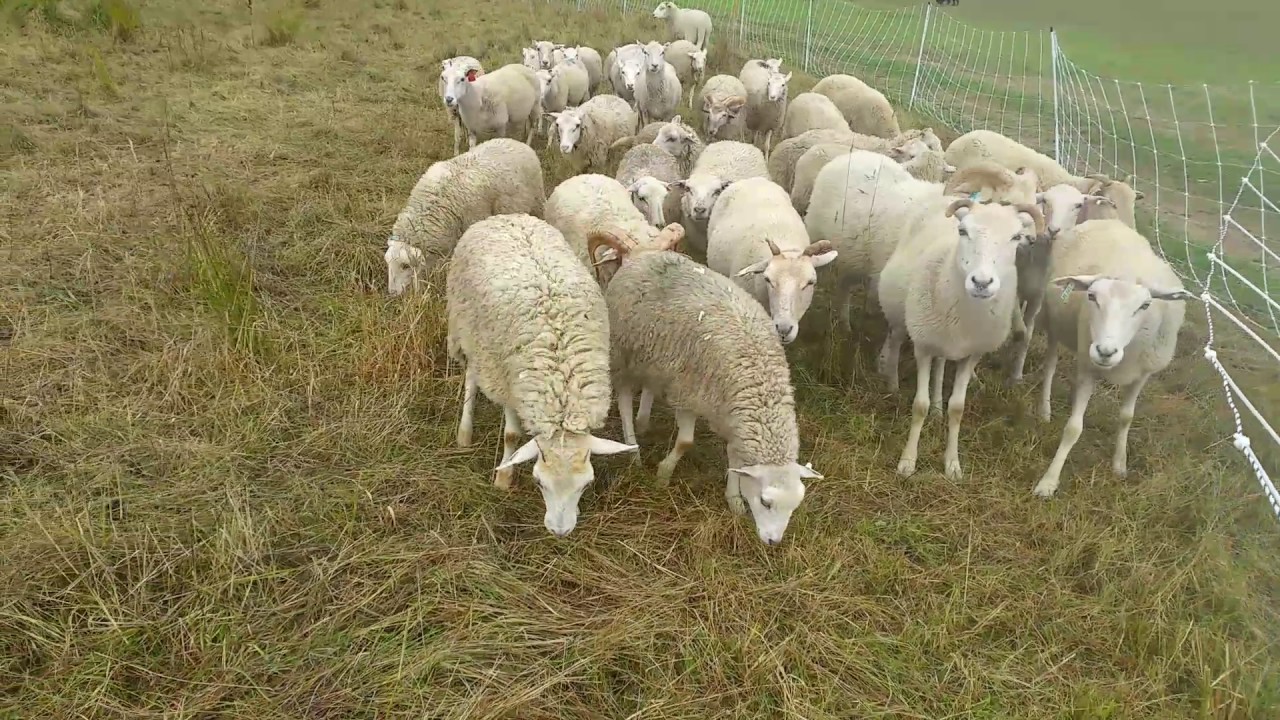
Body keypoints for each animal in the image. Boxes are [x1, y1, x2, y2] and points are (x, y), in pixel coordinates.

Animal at [446, 214, 637, 537]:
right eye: (538, 482)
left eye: (586, 484)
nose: (560, 532)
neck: (562, 390)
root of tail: (504, 217)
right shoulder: (509, 383)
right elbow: (511, 435)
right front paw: (504, 477)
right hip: (466, 330)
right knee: (471, 376)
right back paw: (465, 432)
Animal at [591, 229, 823, 545]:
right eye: (765, 502)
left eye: (795, 505)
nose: (774, 542)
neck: (758, 382)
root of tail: (643, 256)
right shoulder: (688, 394)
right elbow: (685, 442)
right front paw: (663, 475)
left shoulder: (730, 415)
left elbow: (735, 456)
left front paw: (734, 498)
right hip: (624, 353)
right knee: (625, 400)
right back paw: (633, 450)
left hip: (652, 357)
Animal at [878, 198, 1045, 480]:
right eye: (963, 231)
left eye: (1016, 237)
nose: (982, 282)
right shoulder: (923, 345)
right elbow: (919, 406)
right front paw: (908, 461)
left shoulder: (971, 355)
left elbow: (957, 408)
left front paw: (952, 464)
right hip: (901, 316)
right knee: (896, 339)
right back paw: (891, 384)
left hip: (943, 340)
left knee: (940, 366)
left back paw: (937, 407)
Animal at [1032, 219, 1193, 498]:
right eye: (1092, 296)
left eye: (1145, 306)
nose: (1105, 352)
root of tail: (1109, 220)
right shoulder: (1088, 367)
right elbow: (1073, 428)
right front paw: (1049, 481)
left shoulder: (1142, 374)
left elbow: (1126, 417)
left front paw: (1120, 464)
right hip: (1053, 322)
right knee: (1050, 365)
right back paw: (1045, 409)